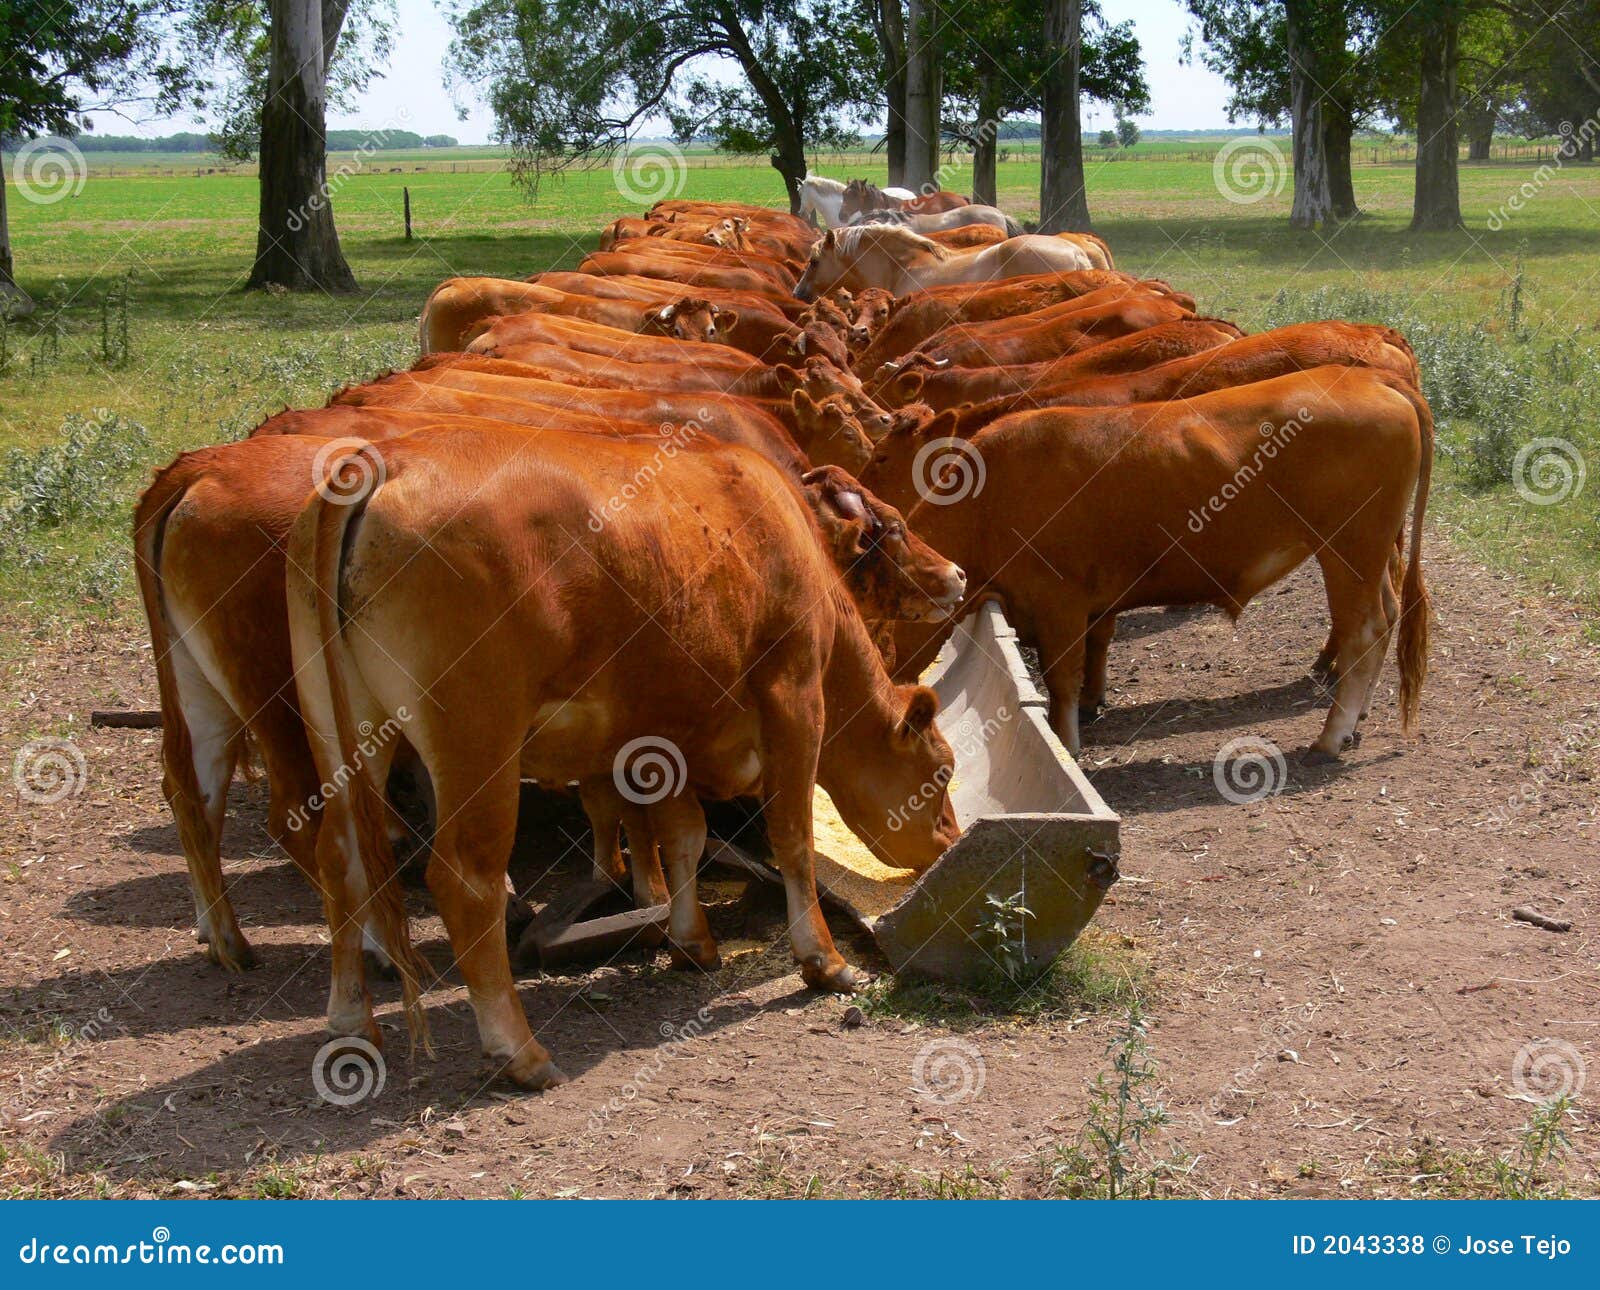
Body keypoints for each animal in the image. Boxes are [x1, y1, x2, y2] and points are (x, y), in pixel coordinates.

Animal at [284, 427, 962, 1085]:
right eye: (944, 771)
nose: (950, 841)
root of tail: (383, 463)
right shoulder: (794, 698)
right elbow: (792, 837)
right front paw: (823, 960)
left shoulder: (666, 728)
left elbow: (682, 833)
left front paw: (692, 944)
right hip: (478, 740)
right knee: (463, 882)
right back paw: (519, 1052)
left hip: (344, 729)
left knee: (339, 856)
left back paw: (350, 1019)